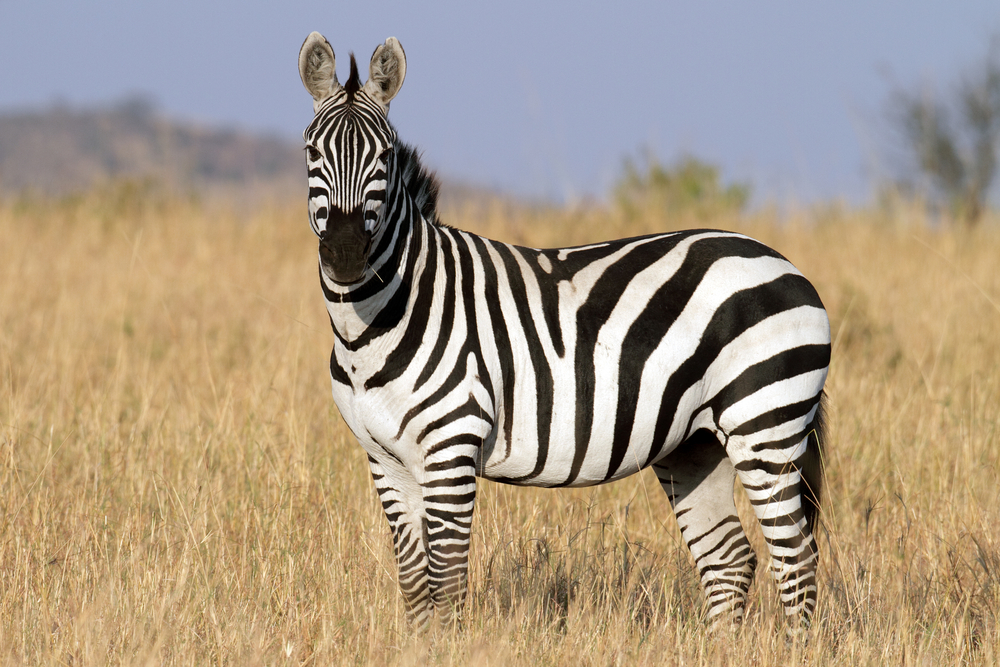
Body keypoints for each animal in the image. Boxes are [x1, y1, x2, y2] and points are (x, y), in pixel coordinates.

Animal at [298, 31, 830, 631]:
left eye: (384, 157)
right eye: (311, 152)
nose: (346, 256)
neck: (376, 325)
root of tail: (783, 262)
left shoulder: (452, 446)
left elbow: (447, 583)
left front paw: (448, 643)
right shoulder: (385, 459)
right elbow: (414, 585)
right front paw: (417, 643)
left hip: (765, 423)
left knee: (795, 558)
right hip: (696, 441)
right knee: (730, 559)